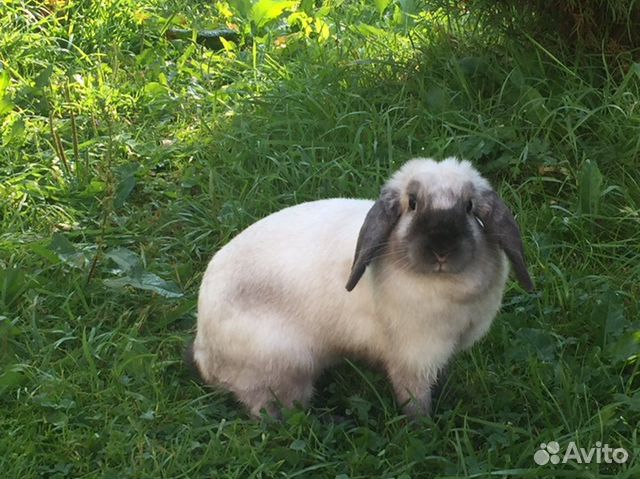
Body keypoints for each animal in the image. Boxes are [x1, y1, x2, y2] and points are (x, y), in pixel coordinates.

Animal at [189, 157, 533, 418]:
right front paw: (423, 429)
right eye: (412, 204)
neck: (447, 286)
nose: (441, 250)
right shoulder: (412, 358)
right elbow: (415, 400)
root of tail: (205, 352)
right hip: (284, 371)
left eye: (469, 207)